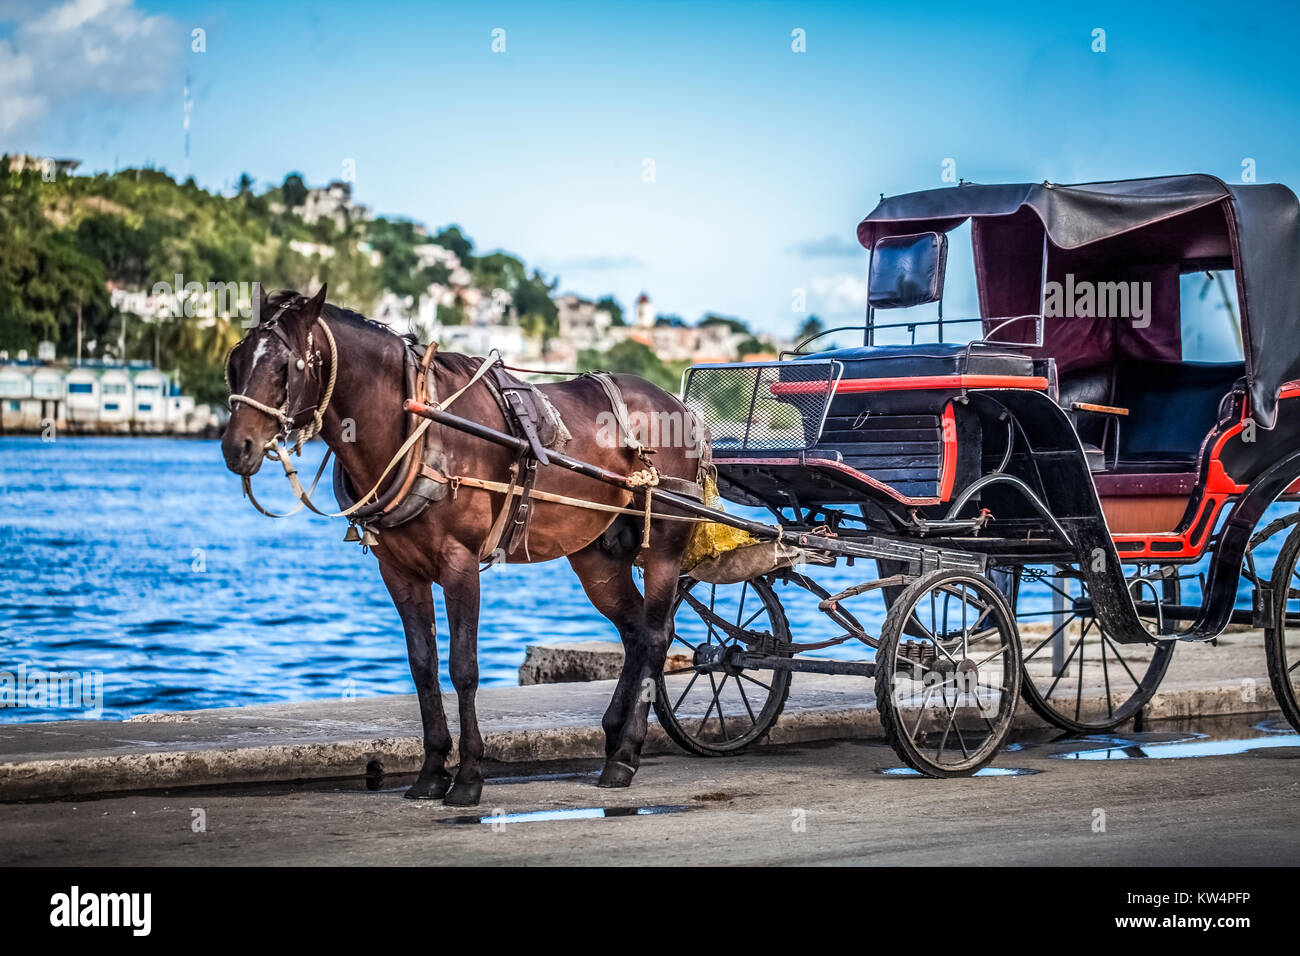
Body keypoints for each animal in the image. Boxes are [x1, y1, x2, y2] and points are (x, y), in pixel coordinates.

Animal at [221, 286, 706, 806]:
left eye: (285, 366)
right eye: (236, 361)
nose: (235, 447)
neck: (416, 427)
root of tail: (678, 407)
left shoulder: (461, 563)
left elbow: (464, 668)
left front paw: (470, 775)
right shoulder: (398, 571)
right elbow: (423, 666)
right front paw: (432, 770)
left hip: (666, 539)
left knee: (656, 635)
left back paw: (626, 753)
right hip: (597, 554)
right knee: (634, 629)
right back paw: (614, 736)